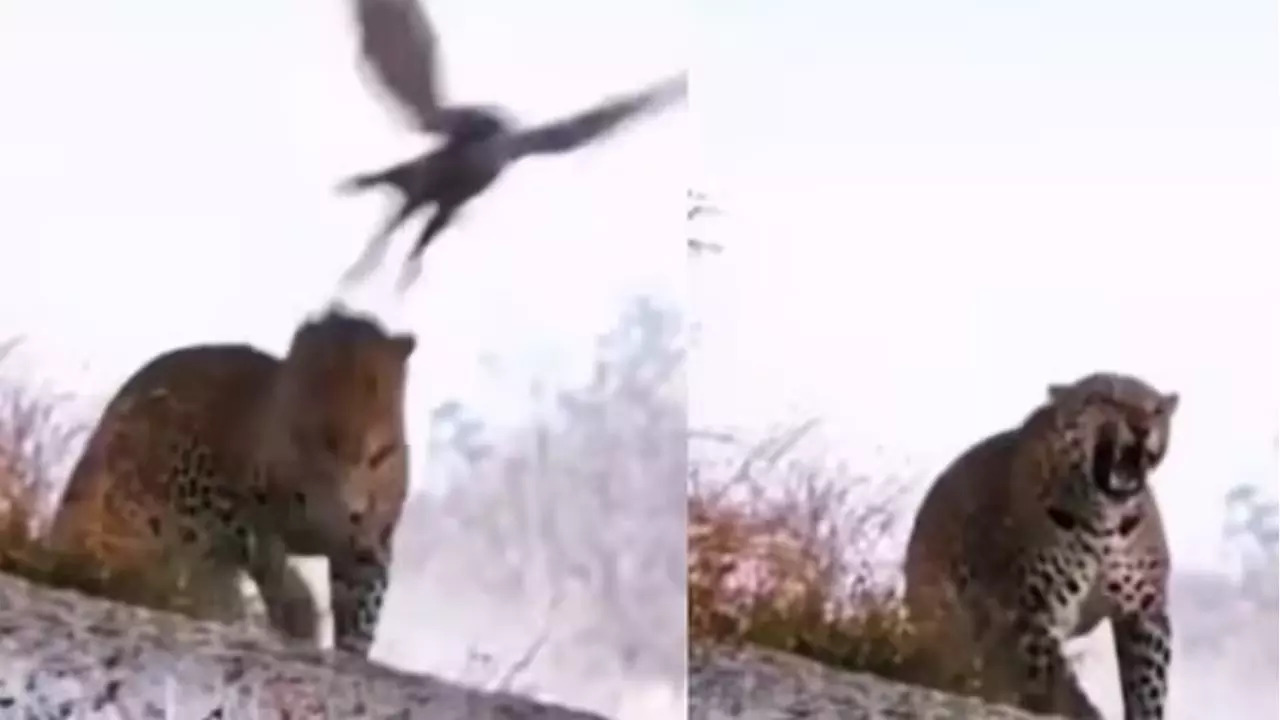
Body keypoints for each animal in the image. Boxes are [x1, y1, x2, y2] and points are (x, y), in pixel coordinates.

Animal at [44, 306, 416, 658]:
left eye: (381, 455)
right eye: (316, 441)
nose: (349, 514)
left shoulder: (370, 543)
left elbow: (361, 606)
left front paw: (349, 646)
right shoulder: (205, 490)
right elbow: (259, 548)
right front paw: (296, 607)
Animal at [903, 371, 1179, 720]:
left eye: (1156, 410)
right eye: (1105, 399)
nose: (1142, 426)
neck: (1103, 523)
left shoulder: (1146, 612)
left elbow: (1148, 688)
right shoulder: (1031, 610)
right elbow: (1057, 681)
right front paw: (1080, 710)